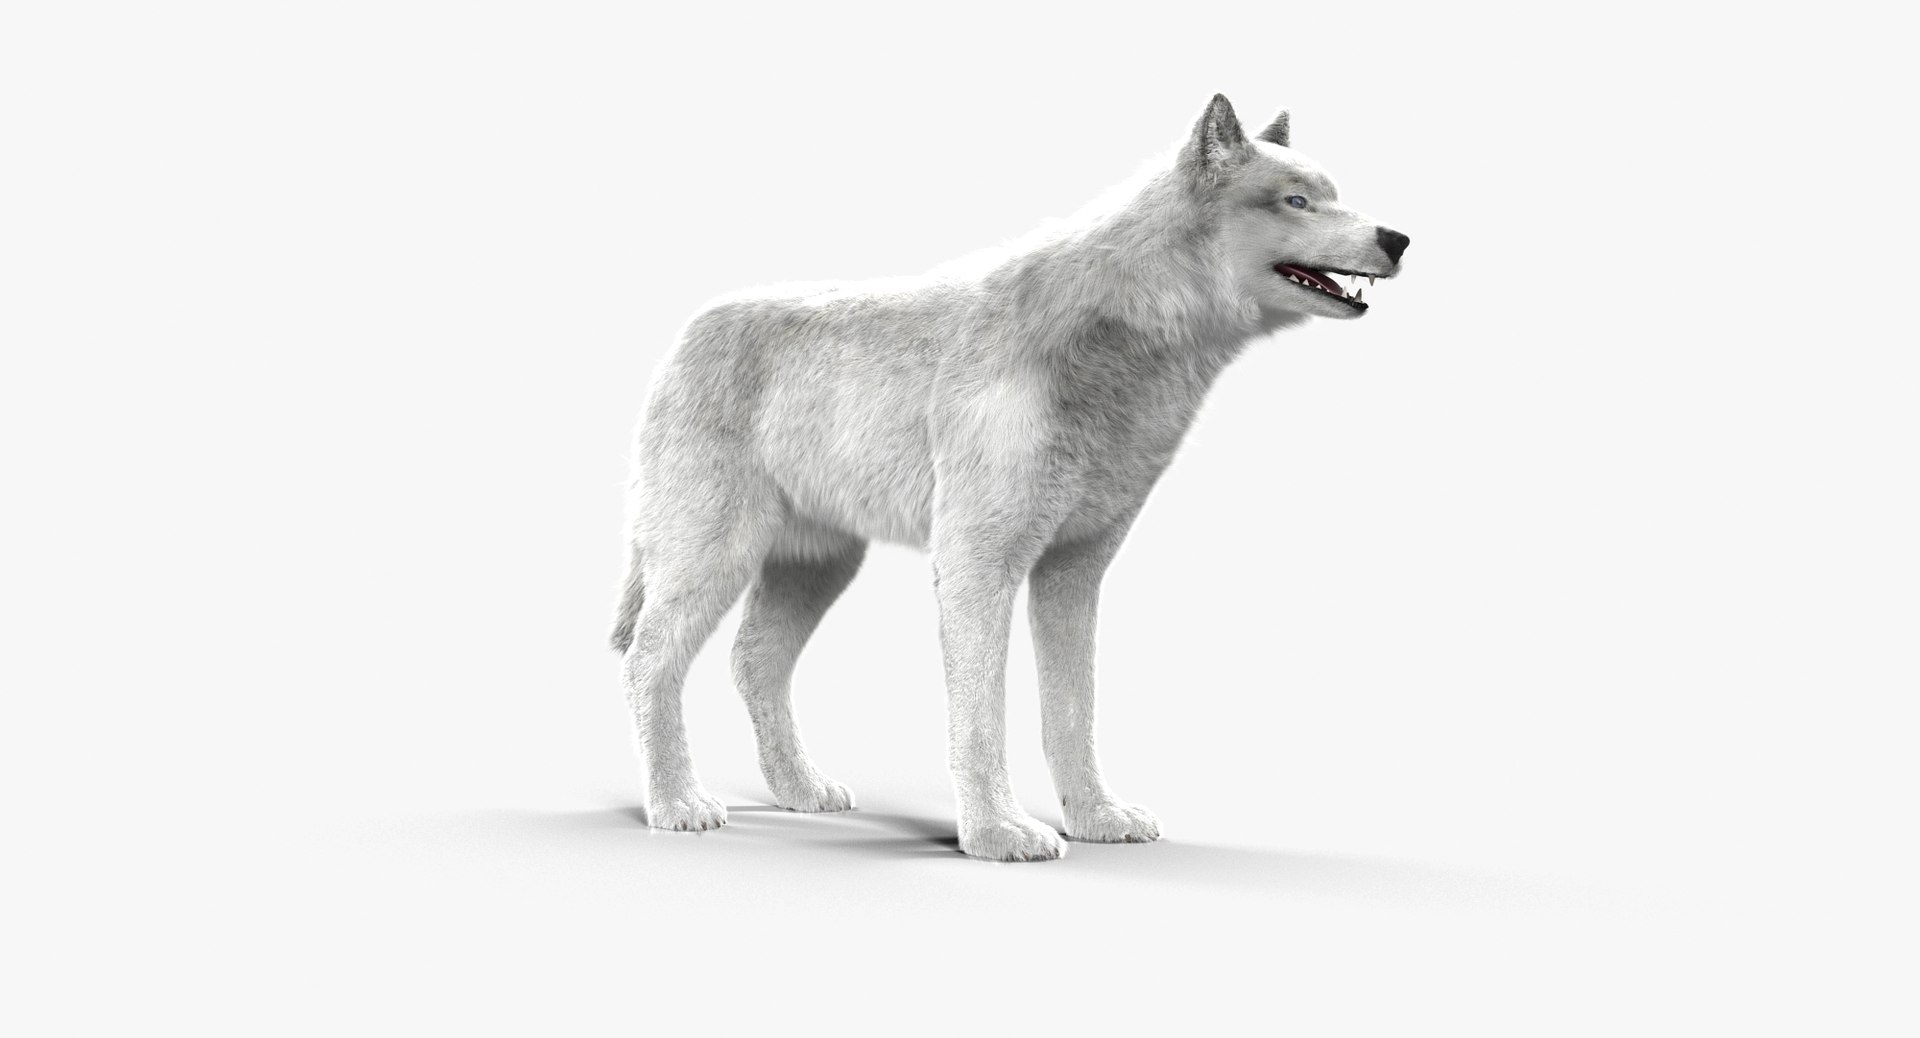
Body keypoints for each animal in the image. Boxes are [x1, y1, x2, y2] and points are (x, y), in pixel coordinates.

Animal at [609, 94, 1409, 861]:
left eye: (1333, 195)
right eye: (1296, 201)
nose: (1398, 239)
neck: (1126, 340)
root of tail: (685, 333)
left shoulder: (1074, 570)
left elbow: (1073, 712)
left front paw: (1096, 820)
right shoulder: (977, 564)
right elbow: (982, 717)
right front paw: (997, 835)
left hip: (819, 566)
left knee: (754, 663)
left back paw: (802, 792)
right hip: (715, 559)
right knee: (649, 663)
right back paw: (677, 805)